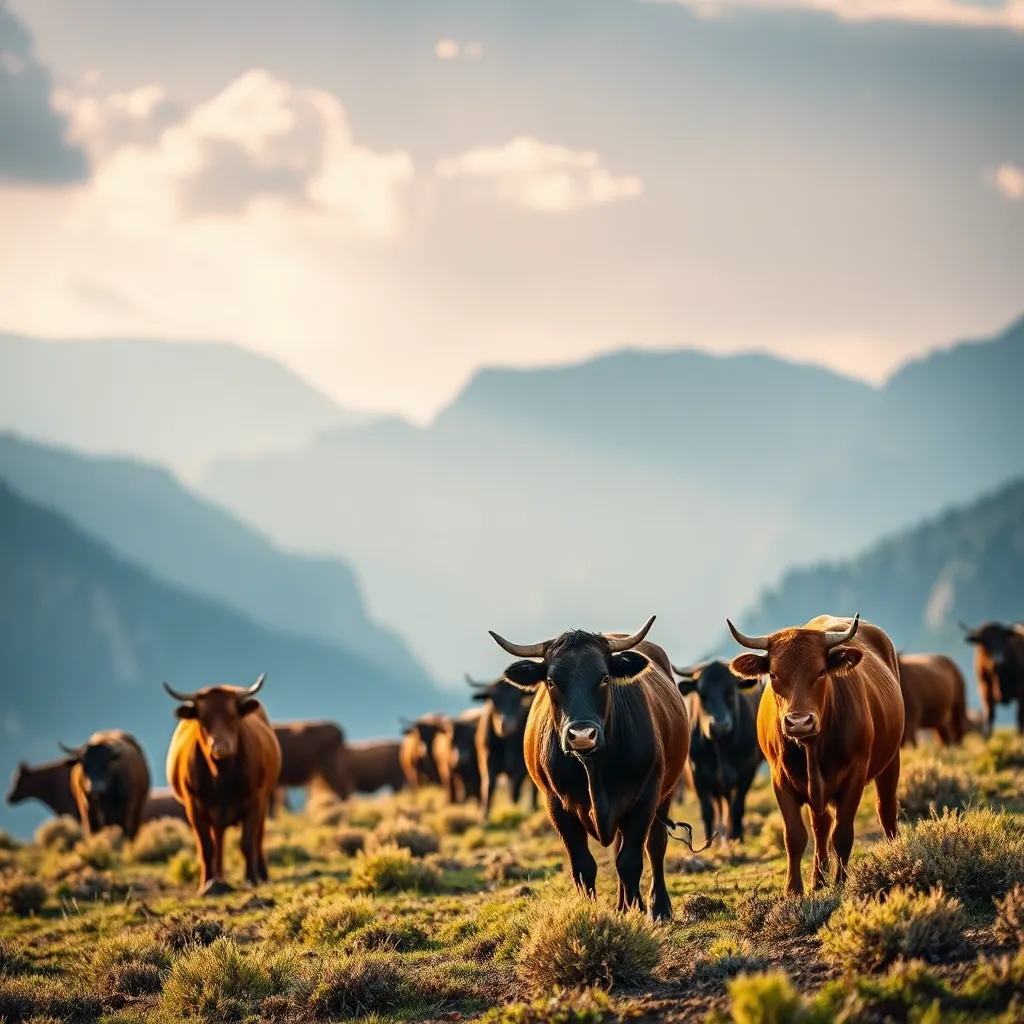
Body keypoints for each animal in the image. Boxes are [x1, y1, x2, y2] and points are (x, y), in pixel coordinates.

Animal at [164, 674, 282, 896]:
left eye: (233, 714)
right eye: (202, 718)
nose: (220, 747)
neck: (222, 778)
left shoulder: (255, 802)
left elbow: (247, 843)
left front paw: (251, 879)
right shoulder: (194, 807)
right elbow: (206, 847)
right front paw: (206, 884)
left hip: (263, 804)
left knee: (258, 838)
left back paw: (262, 874)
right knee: (218, 840)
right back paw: (218, 877)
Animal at [467, 674, 538, 817]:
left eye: (516, 698)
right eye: (493, 699)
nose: (506, 724)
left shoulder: (520, 768)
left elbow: (515, 791)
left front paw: (514, 810)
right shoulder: (487, 762)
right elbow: (489, 786)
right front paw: (484, 815)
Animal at [489, 615, 689, 921]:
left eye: (604, 678)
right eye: (551, 682)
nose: (582, 735)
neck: (593, 767)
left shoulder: (645, 798)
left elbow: (631, 860)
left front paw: (638, 910)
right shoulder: (556, 805)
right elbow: (583, 866)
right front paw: (592, 912)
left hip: (665, 794)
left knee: (655, 846)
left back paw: (658, 907)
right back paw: (621, 905)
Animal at [673, 659, 763, 846]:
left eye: (731, 692)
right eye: (702, 694)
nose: (719, 726)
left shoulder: (748, 770)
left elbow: (737, 806)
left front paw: (737, 837)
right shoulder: (698, 773)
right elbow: (707, 809)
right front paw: (709, 842)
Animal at [727, 613, 903, 896]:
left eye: (821, 672)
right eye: (773, 674)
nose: (799, 722)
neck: (812, 748)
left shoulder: (855, 776)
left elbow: (842, 834)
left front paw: (841, 882)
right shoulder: (781, 781)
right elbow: (795, 836)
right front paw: (793, 889)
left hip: (891, 760)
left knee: (886, 810)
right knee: (821, 825)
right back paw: (818, 880)